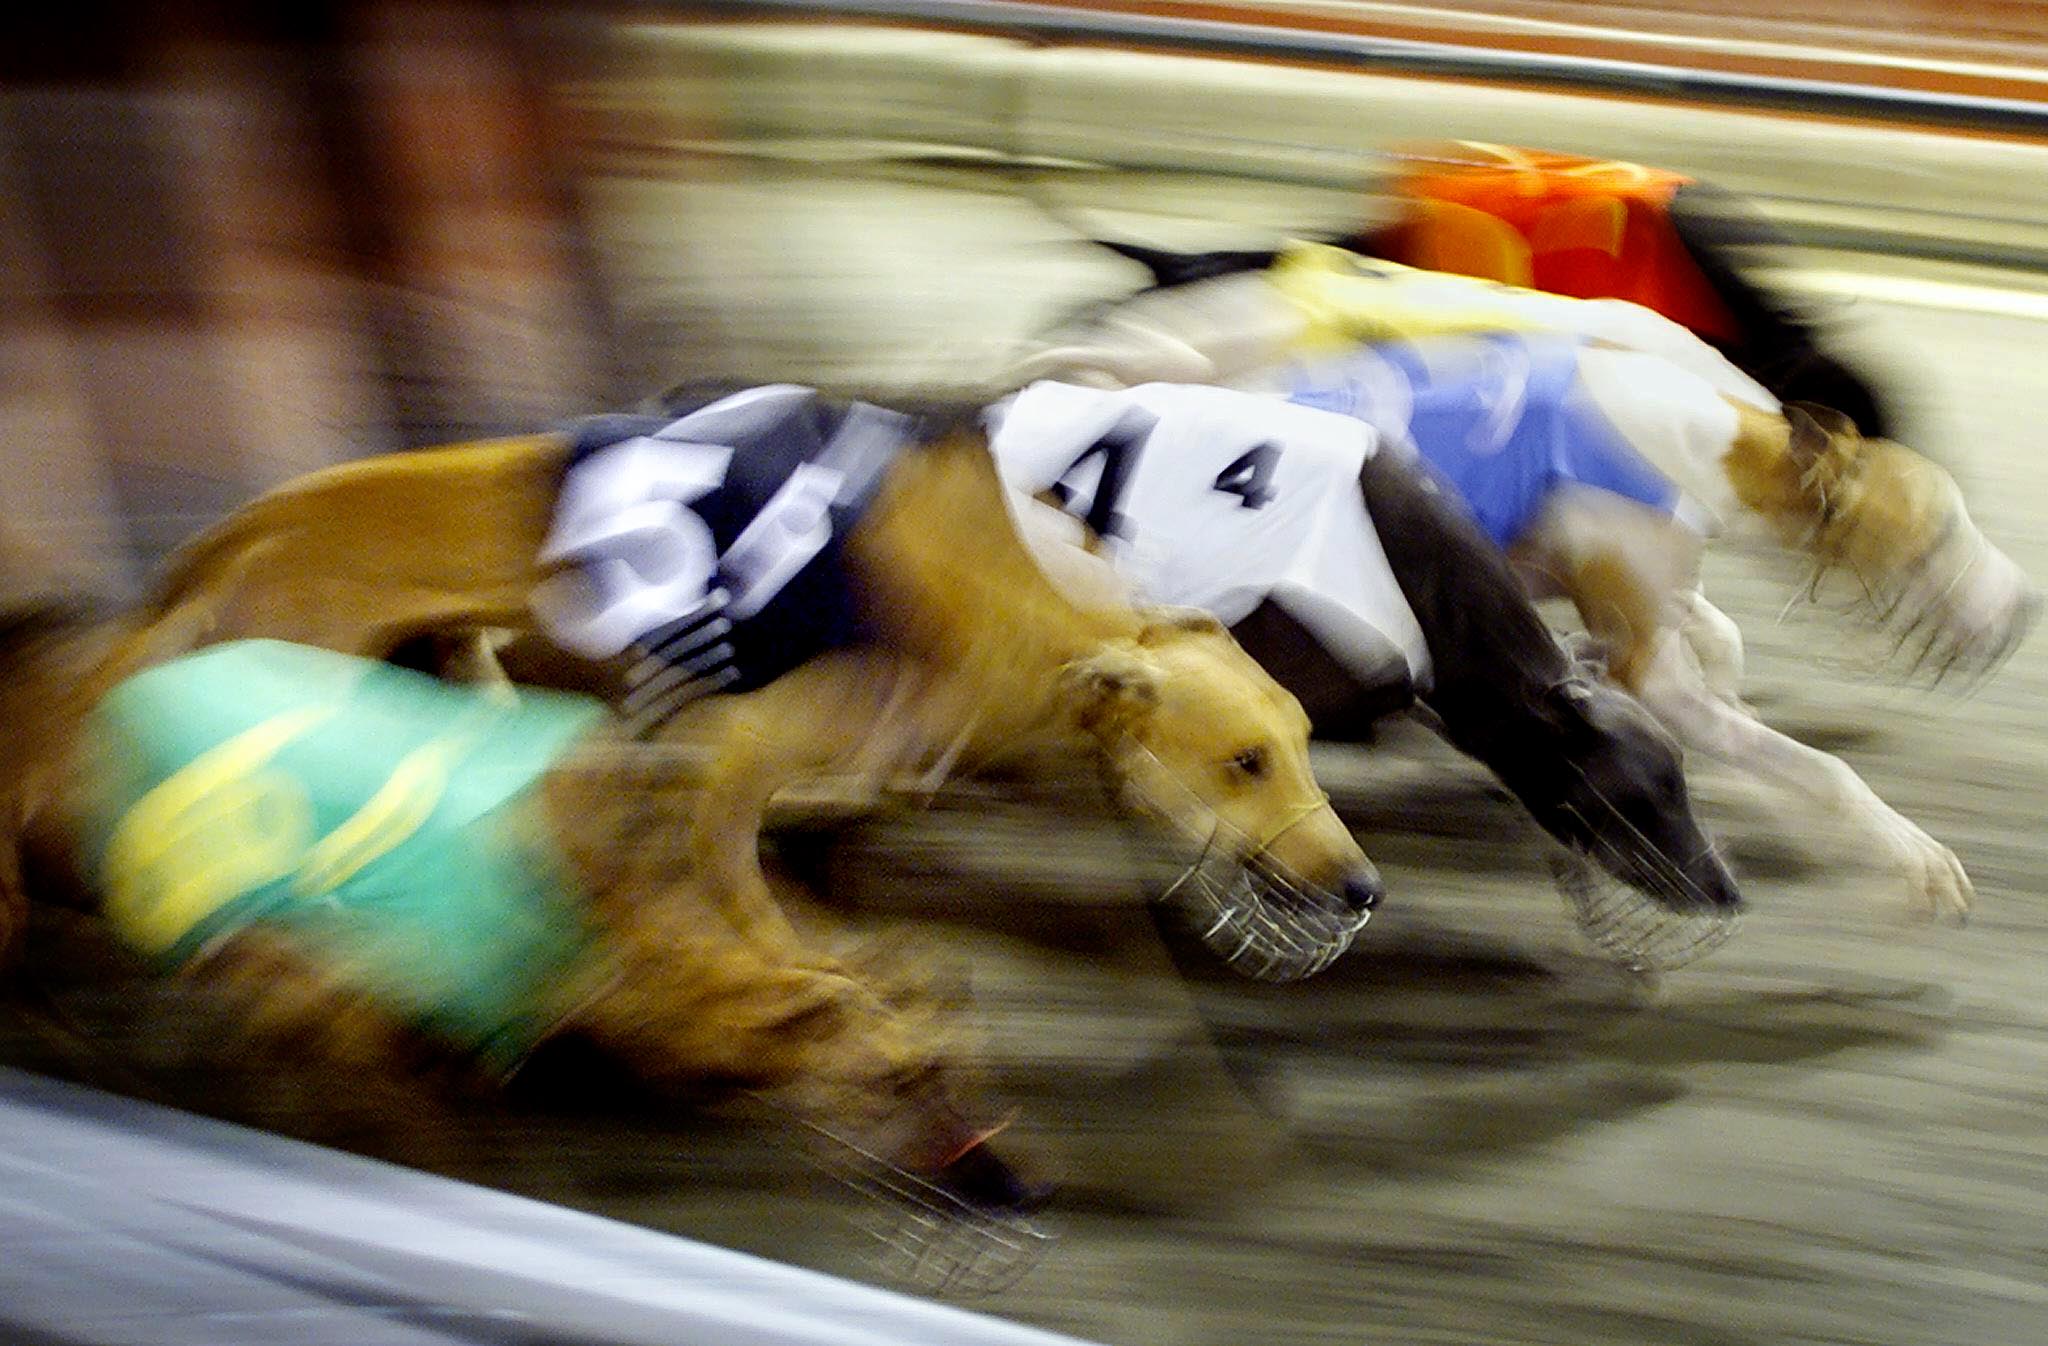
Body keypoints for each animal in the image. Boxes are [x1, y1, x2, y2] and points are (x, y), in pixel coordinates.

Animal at [1010, 247, 2038, 921]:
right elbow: (1812, 764)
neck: (1699, 433)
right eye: (1939, 535)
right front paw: (1915, 859)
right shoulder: (1641, 647)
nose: (2023, 612)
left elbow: (1713, 653)